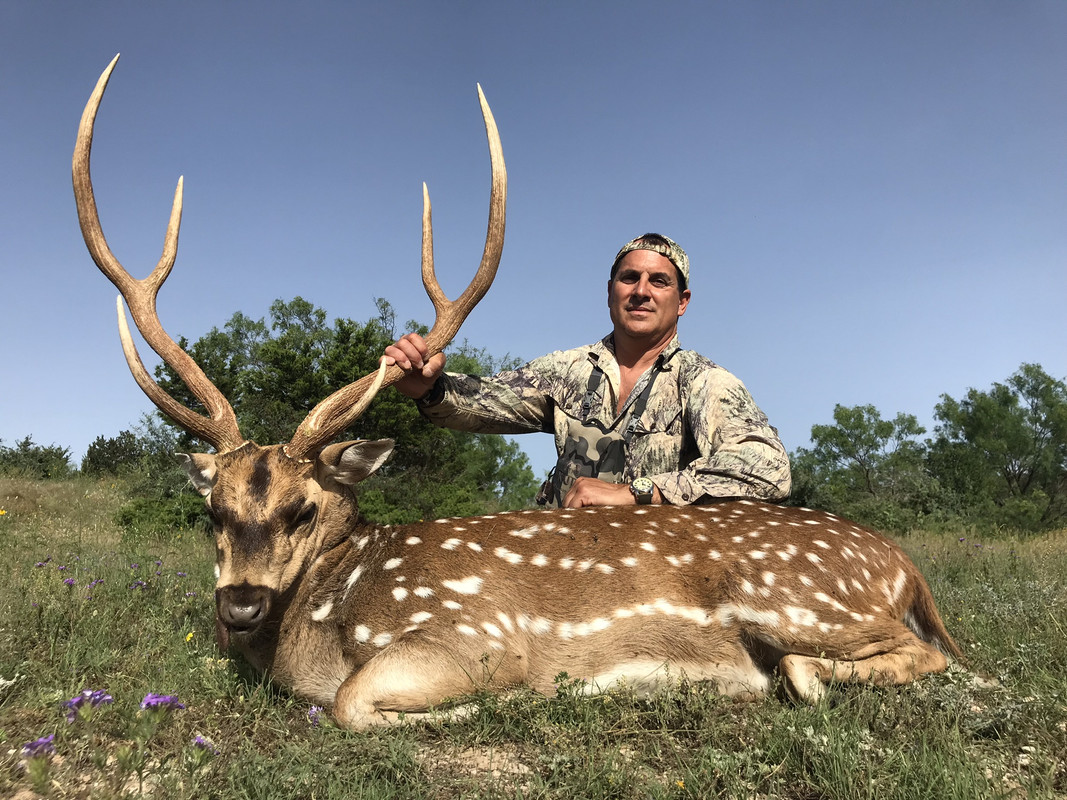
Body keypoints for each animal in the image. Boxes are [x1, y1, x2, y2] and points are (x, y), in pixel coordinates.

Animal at [74, 56, 965, 730]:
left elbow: (354, 702)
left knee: (918, 660)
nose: (240, 610)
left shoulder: (473, 632)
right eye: (211, 510)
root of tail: (902, 564)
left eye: (302, 508)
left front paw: (509, 702)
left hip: (802, 602)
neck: (327, 616)